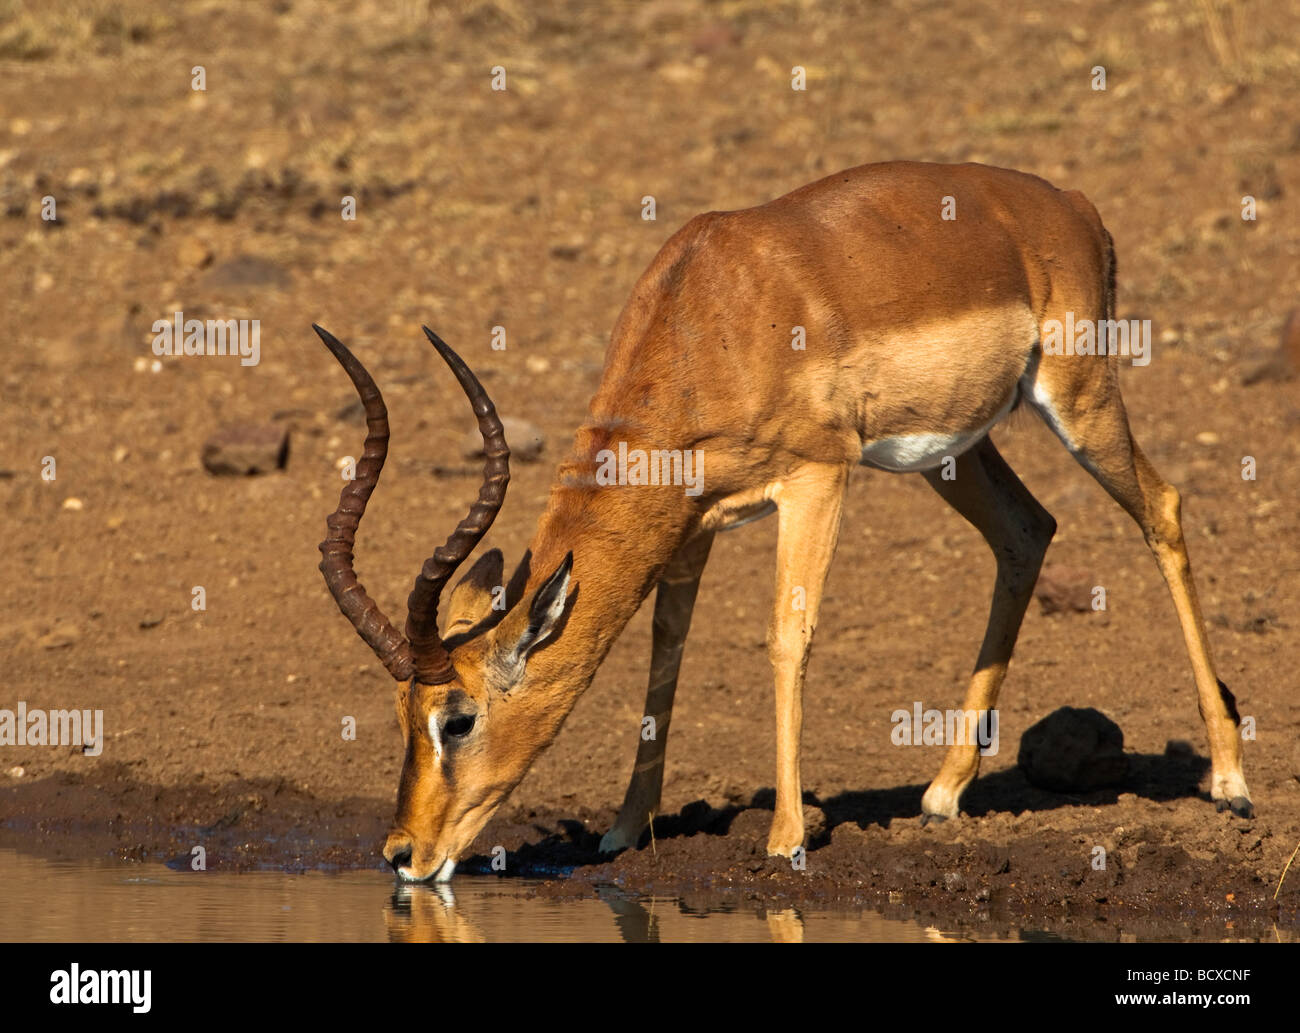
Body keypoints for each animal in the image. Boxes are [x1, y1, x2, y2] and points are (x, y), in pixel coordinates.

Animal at [314, 160, 1253, 883]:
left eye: (457, 717)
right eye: (398, 712)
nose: (402, 853)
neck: (712, 311)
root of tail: (1073, 207)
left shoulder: (816, 479)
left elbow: (785, 638)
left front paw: (786, 836)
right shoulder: (692, 522)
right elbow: (665, 651)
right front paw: (624, 827)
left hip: (1078, 397)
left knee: (1163, 508)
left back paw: (1231, 780)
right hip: (954, 451)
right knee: (1028, 530)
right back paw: (943, 792)